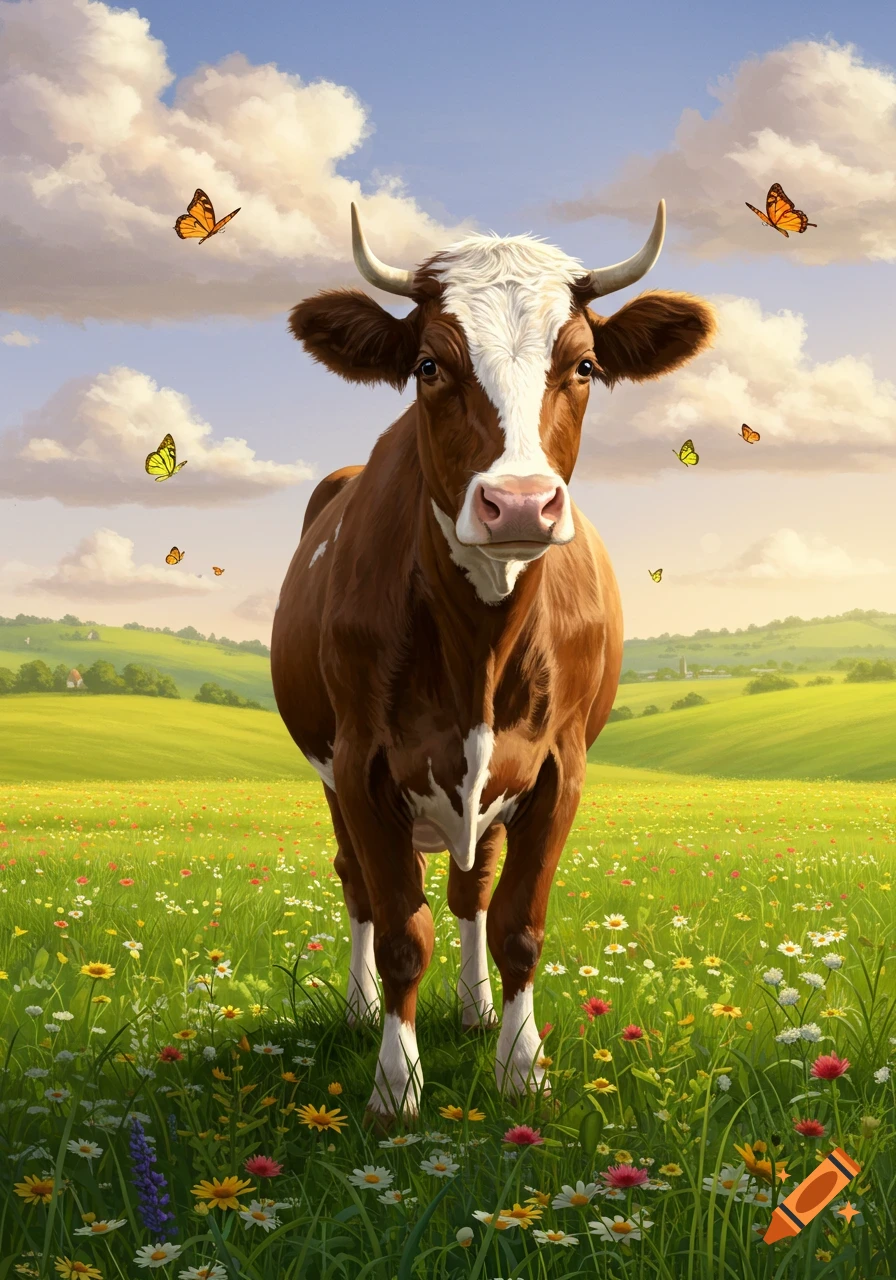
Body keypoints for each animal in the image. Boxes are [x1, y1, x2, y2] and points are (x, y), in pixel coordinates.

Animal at [272, 201, 715, 1123]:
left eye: (584, 364)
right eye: (429, 365)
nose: (517, 503)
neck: (479, 642)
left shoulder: (559, 767)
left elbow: (517, 924)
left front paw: (521, 1066)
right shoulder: (362, 763)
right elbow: (401, 931)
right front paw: (395, 1084)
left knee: (471, 890)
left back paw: (475, 1011)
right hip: (329, 775)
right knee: (357, 886)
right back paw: (359, 1008)